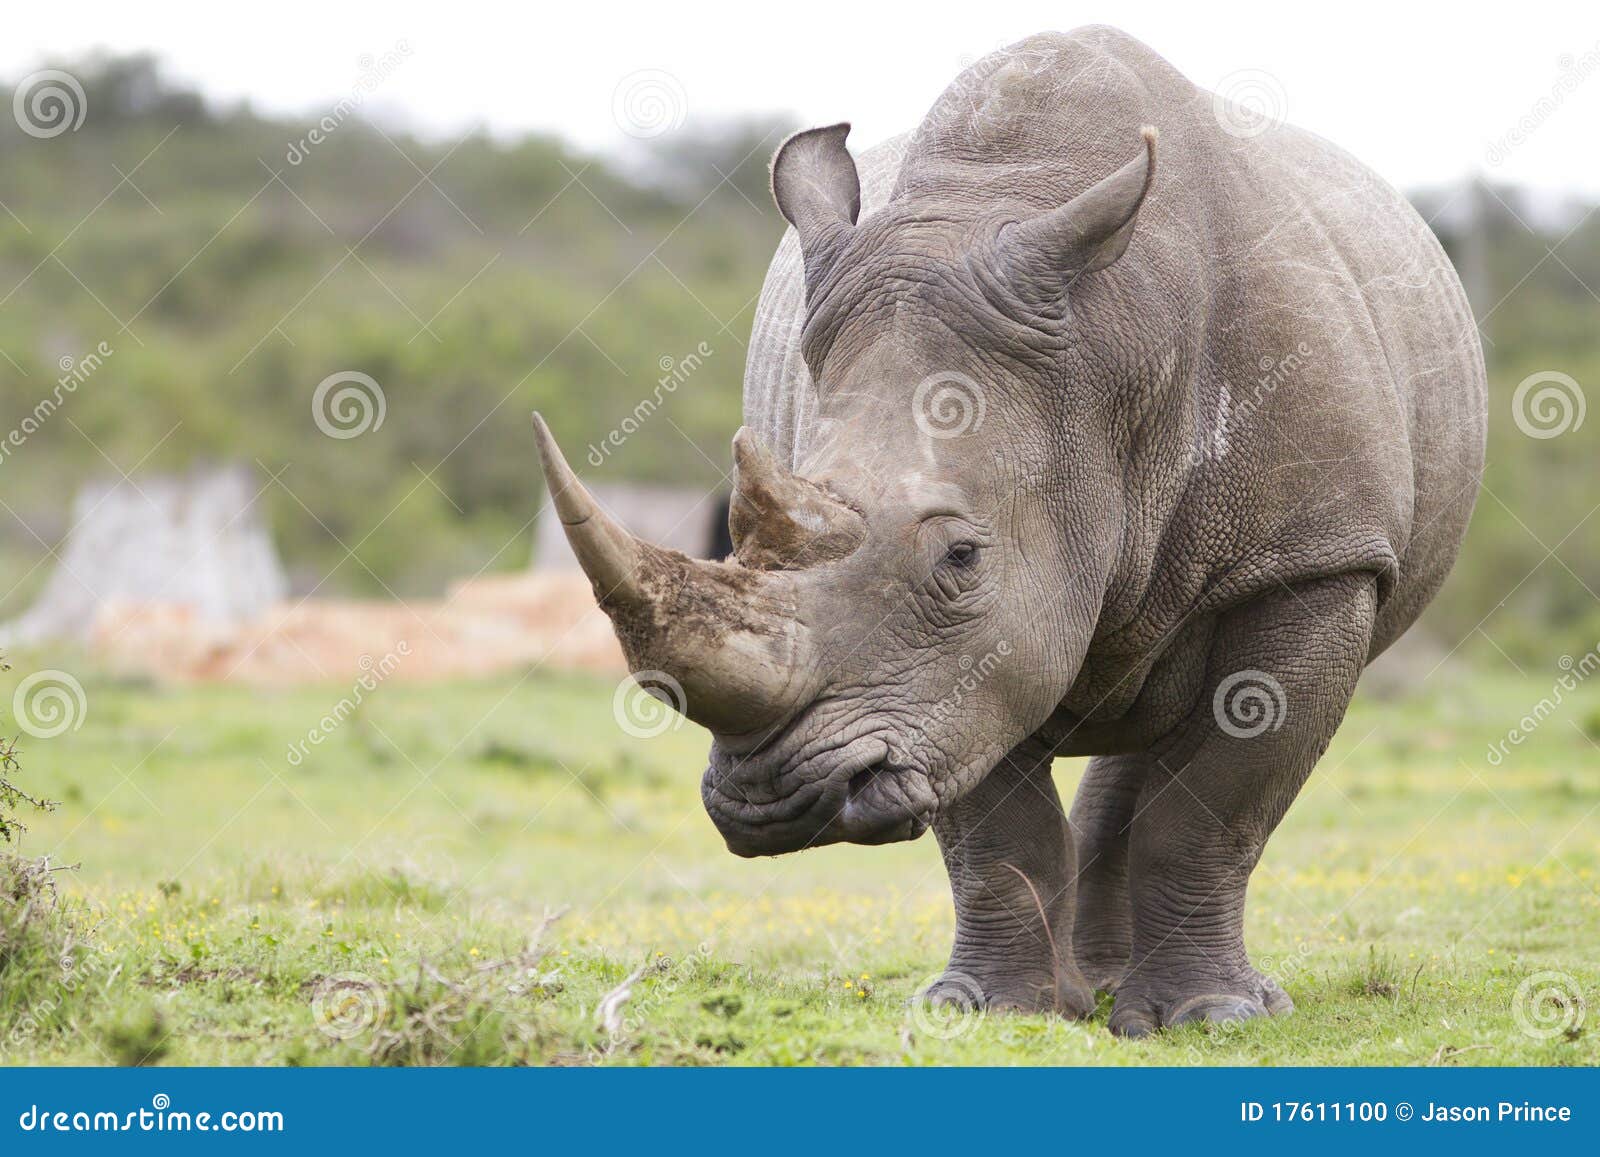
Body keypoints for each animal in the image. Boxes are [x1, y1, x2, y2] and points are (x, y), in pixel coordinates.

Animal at [533, 26, 1485, 1035]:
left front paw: (1217, 1016)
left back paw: (1143, 994)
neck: (1111, 364)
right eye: (740, 527)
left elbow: (1215, 806)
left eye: (960, 556)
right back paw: (1096, 986)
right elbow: (994, 823)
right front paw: (992, 1010)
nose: (770, 800)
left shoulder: (1315, 557)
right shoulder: (946, 678)